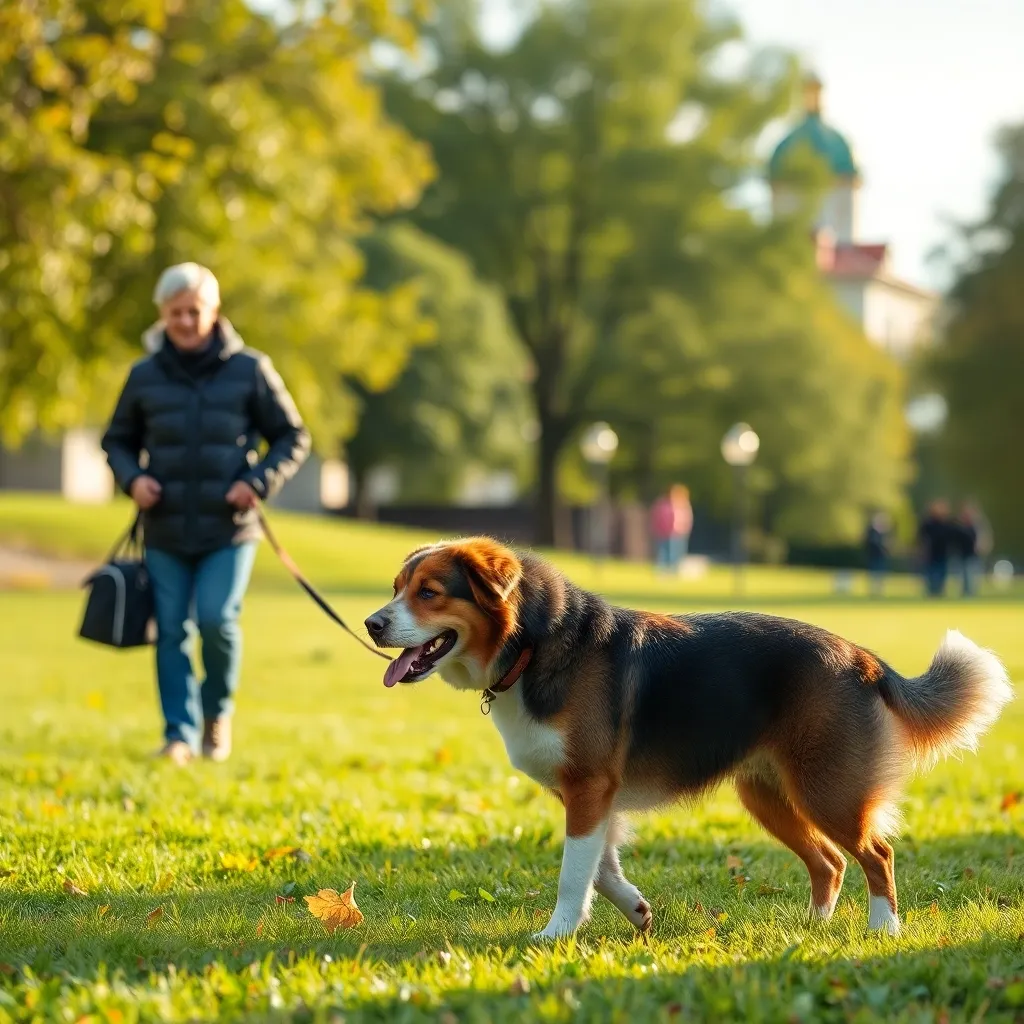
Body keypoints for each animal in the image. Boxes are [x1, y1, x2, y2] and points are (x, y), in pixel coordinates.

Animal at [364, 540, 1011, 937]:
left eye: (429, 592)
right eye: (396, 587)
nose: (372, 623)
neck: (532, 641)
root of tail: (862, 657)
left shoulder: (589, 789)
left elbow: (574, 872)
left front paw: (557, 932)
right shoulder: (591, 796)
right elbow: (600, 867)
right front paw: (635, 909)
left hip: (828, 791)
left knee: (878, 854)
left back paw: (883, 929)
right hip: (769, 797)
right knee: (828, 862)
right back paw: (815, 928)